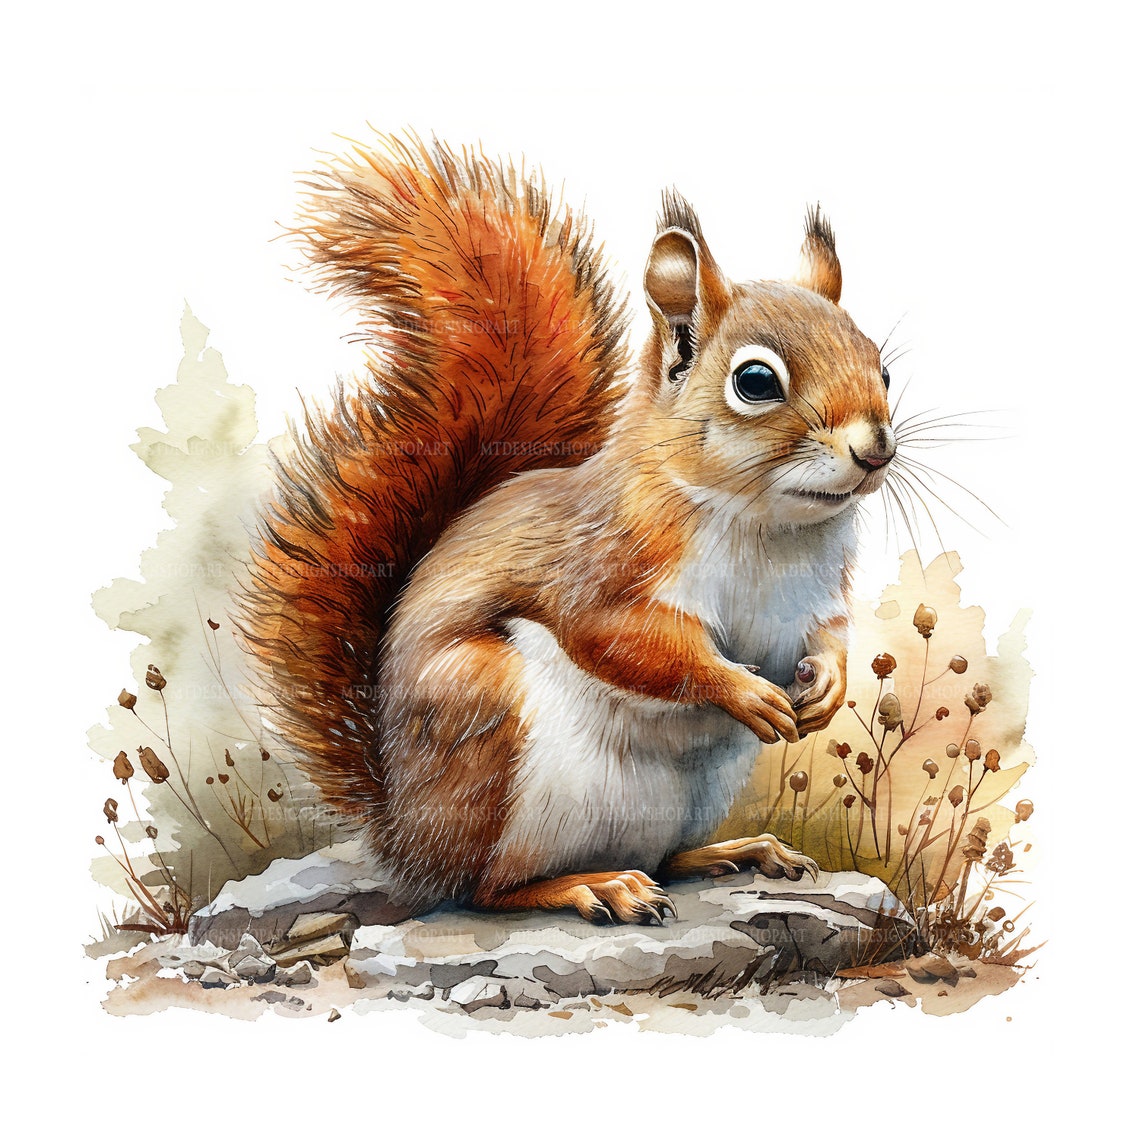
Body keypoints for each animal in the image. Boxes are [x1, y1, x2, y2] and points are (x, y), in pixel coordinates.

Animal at [241, 134, 896, 925]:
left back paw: (736, 851)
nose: (876, 449)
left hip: (688, 796)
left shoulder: (817, 593)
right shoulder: (600, 565)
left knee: (663, 857)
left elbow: (828, 635)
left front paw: (828, 687)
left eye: (883, 369)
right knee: (486, 889)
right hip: (488, 725)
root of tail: (403, 838)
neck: (768, 523)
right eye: (756, 381)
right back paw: (593, 885)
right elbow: (623, 639)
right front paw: (743, 691)